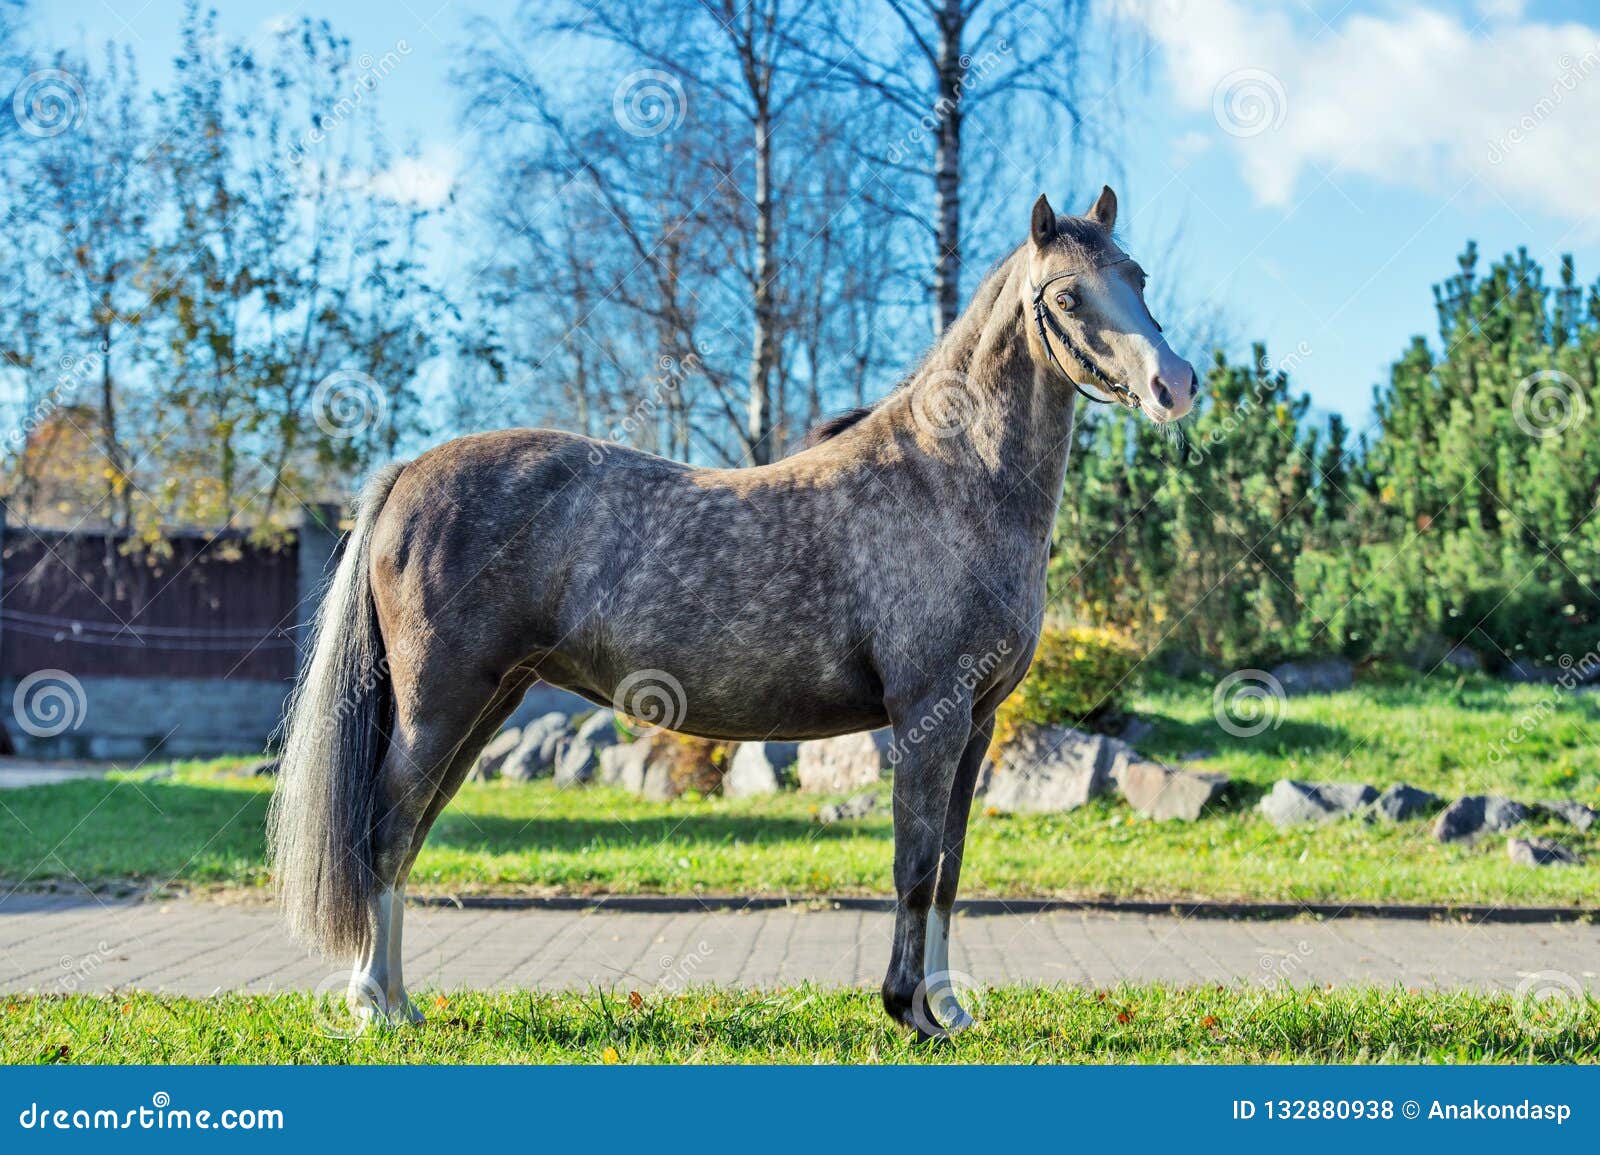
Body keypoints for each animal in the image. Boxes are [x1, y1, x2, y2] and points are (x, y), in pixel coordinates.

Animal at [267, 186, 1196, 1038]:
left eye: (1138, 277)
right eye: (1068, 297)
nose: (1175, 384)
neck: (949, 479)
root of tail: (407, 473)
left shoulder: (976, 725)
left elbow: (950, 868)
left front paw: (950, 1009)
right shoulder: (928, 715)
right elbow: (914, 865)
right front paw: (909, 1011)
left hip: (482, 705)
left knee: (408, 835)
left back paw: (402, 1002)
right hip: (440, 706)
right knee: (387, 832)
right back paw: (376, 1008)